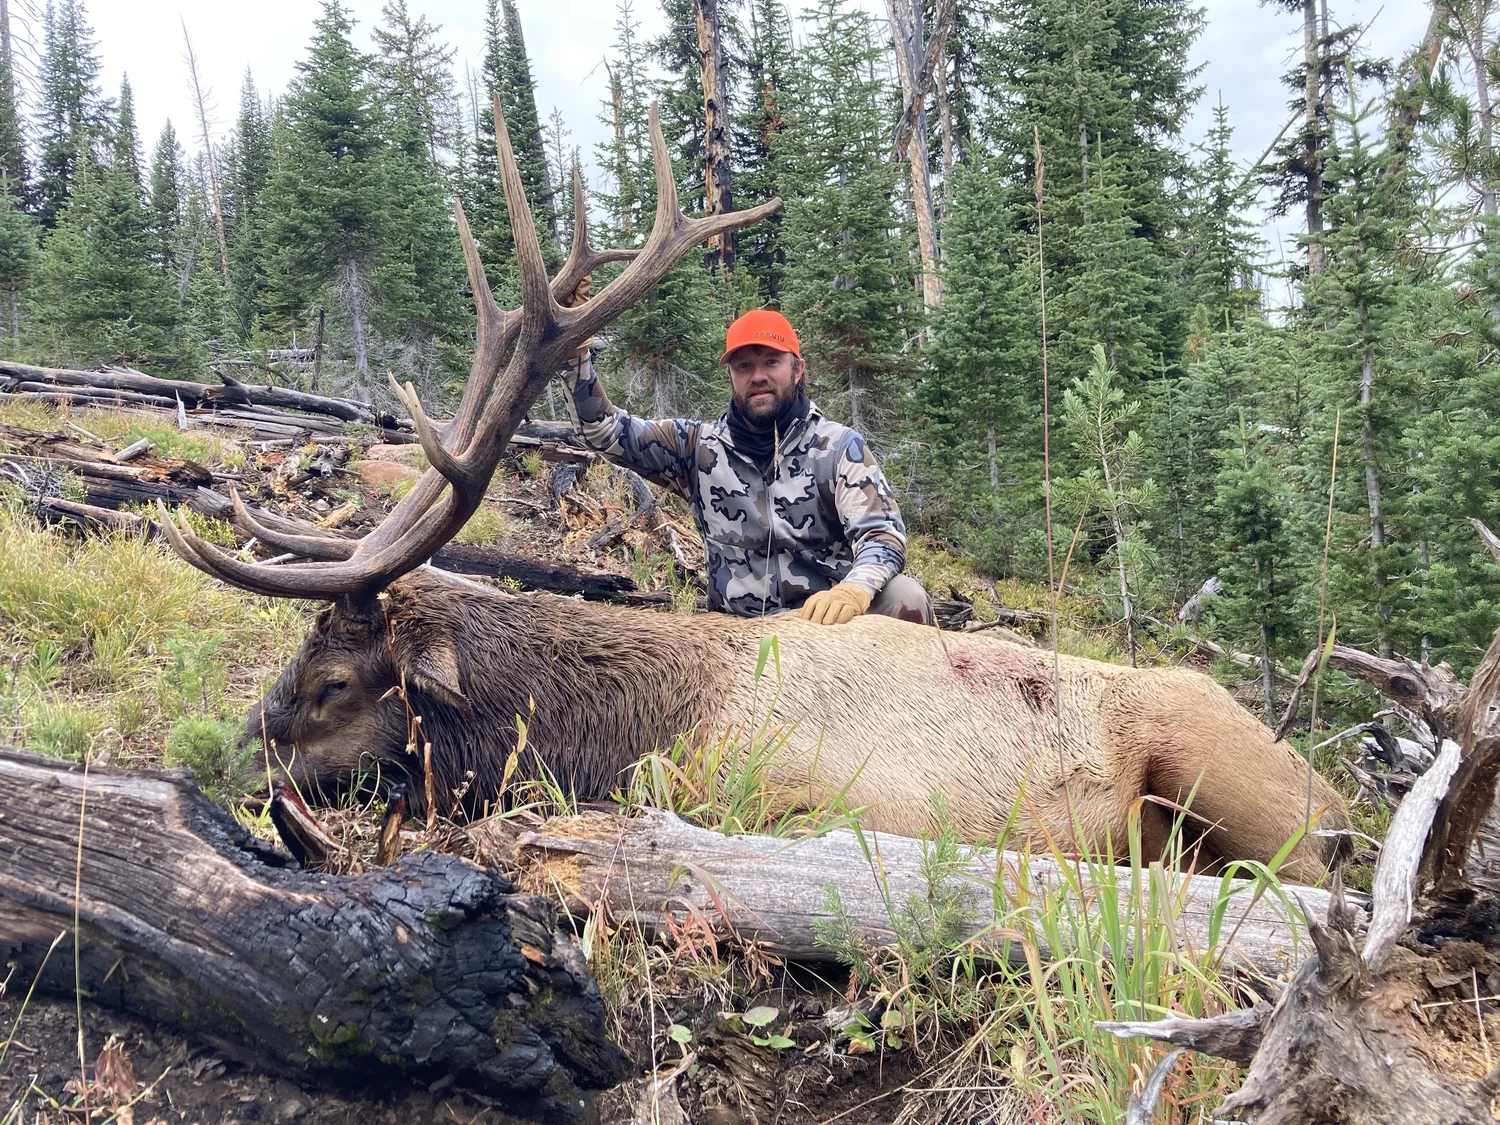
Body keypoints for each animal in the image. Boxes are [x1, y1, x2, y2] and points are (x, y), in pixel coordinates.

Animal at [160, 98, 1349, 885]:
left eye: (334, 684)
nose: (214, 751)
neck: (621, 726)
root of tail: (1332, 785)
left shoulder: (801, 794)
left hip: (1228, 773)